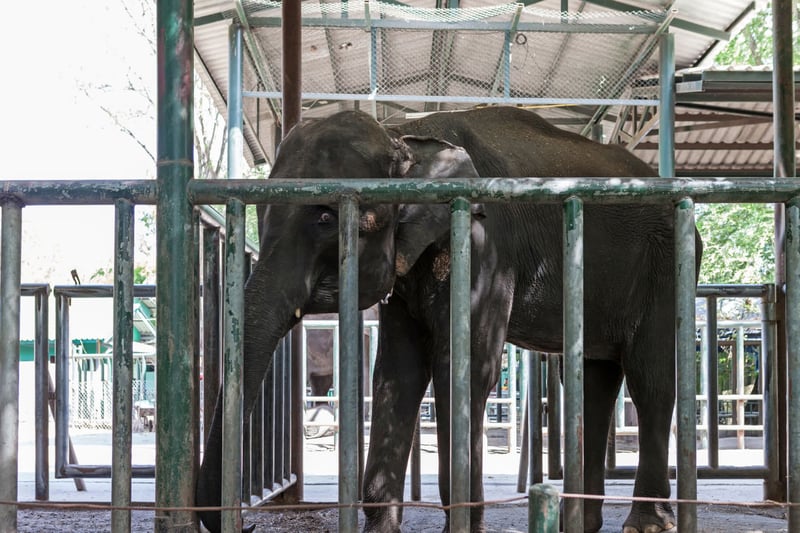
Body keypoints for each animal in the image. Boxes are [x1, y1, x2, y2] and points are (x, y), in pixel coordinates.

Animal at [196, 106, 702, 533]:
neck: (406, 134)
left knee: (651, 378)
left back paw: (646, 525)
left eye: (324, 217)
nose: (247, 523)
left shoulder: (484, 244)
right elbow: (397, 372)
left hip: (667, 268)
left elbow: (465, 365)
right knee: (592, 380)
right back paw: (577, 524)